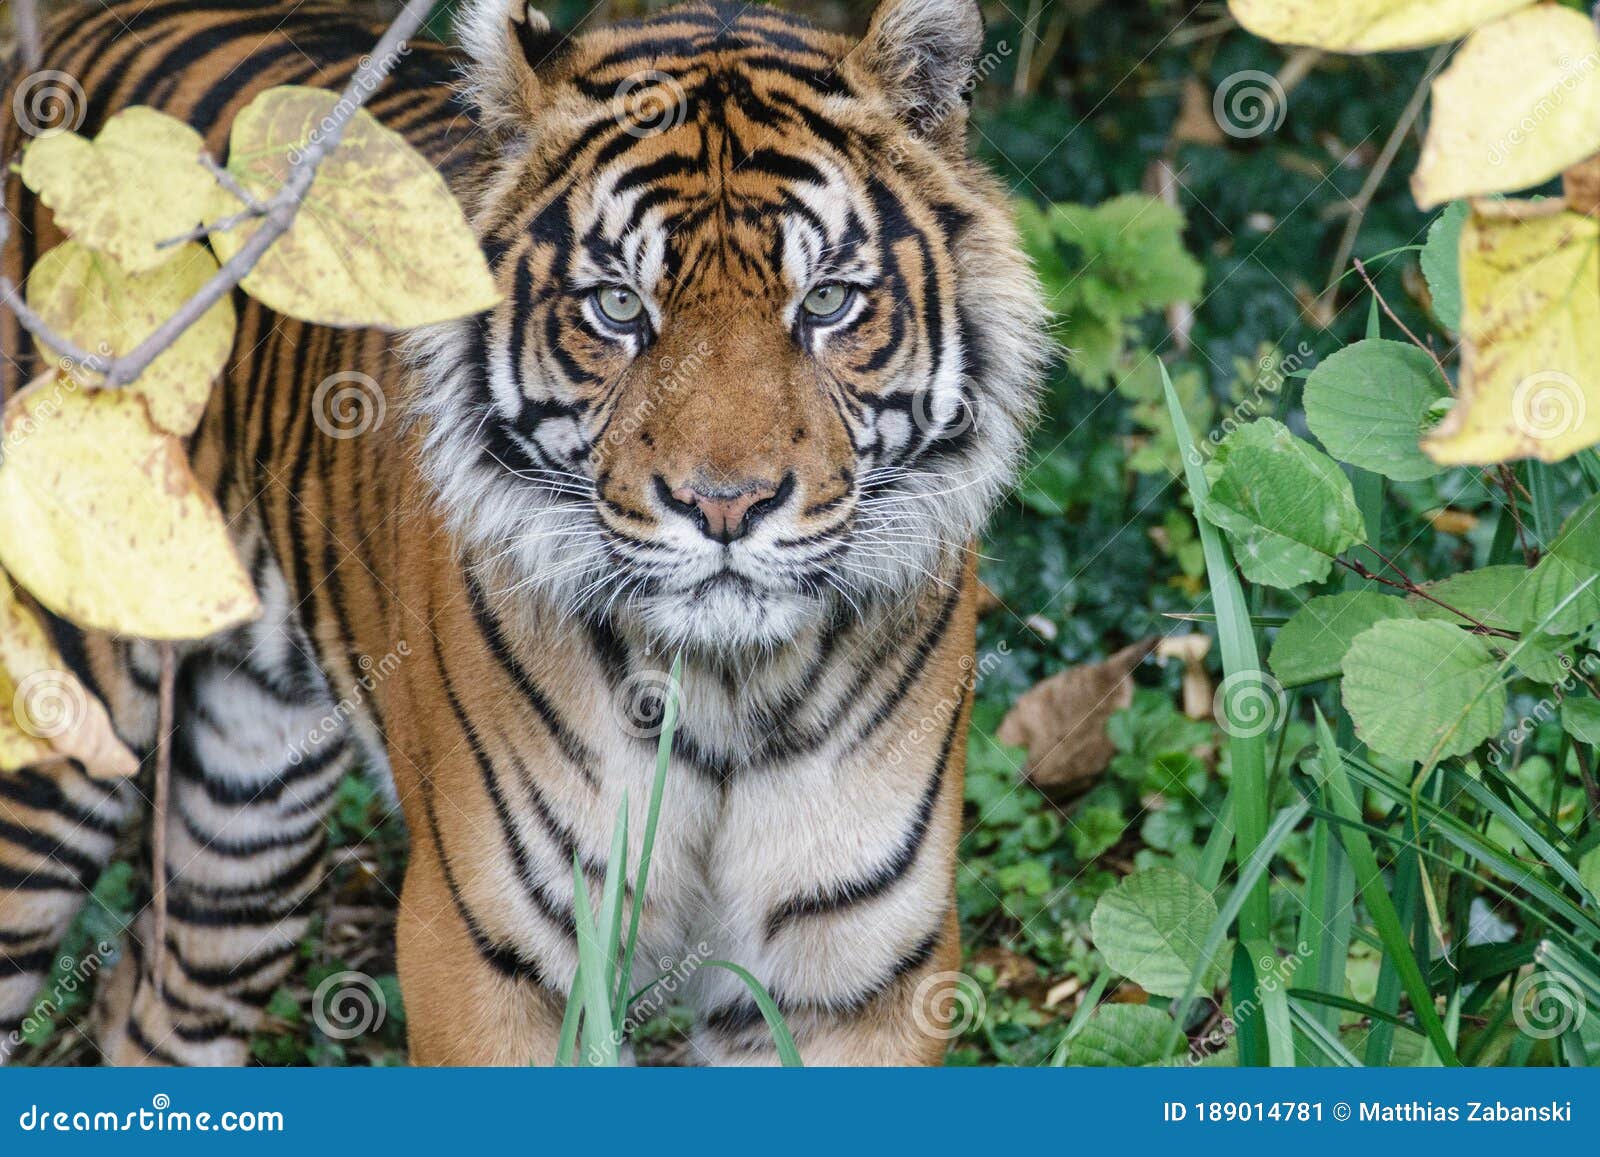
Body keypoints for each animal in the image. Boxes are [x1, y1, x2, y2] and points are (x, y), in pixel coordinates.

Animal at [0, 0, 1045, 1066]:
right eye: (619, 307)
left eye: (827, 300)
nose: (725, 504)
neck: (724, 692)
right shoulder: (483, 956)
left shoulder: (864, 976)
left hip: (251, 803)